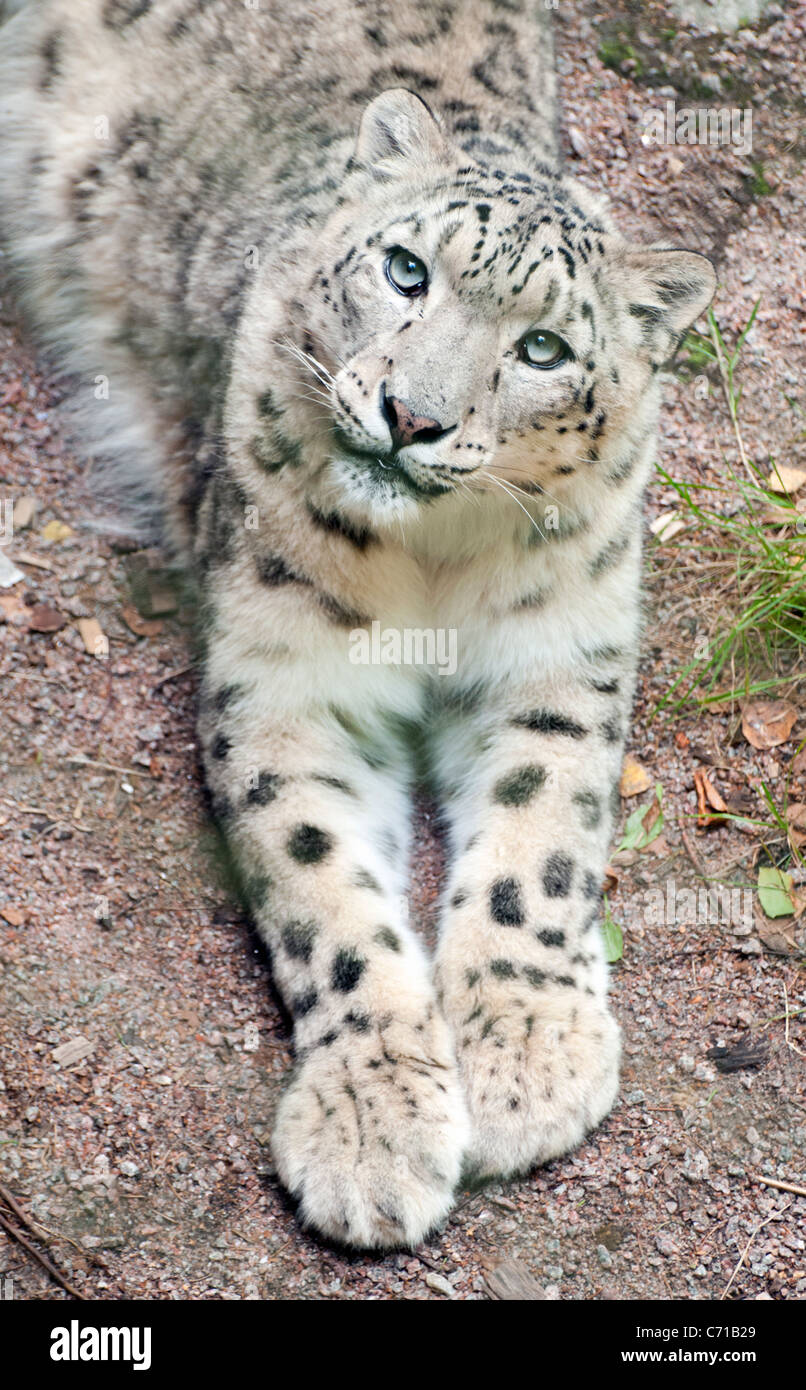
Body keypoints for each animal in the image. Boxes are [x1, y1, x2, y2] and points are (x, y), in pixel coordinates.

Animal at [0, 0, 715, 1249]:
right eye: (404, 269)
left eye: (542, 348)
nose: (408, 414)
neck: (428, 566)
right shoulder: (284, 686)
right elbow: (319, 886)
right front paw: (371, 1124)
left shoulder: (555, 662)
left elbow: (541, 845)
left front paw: (526, 1054)